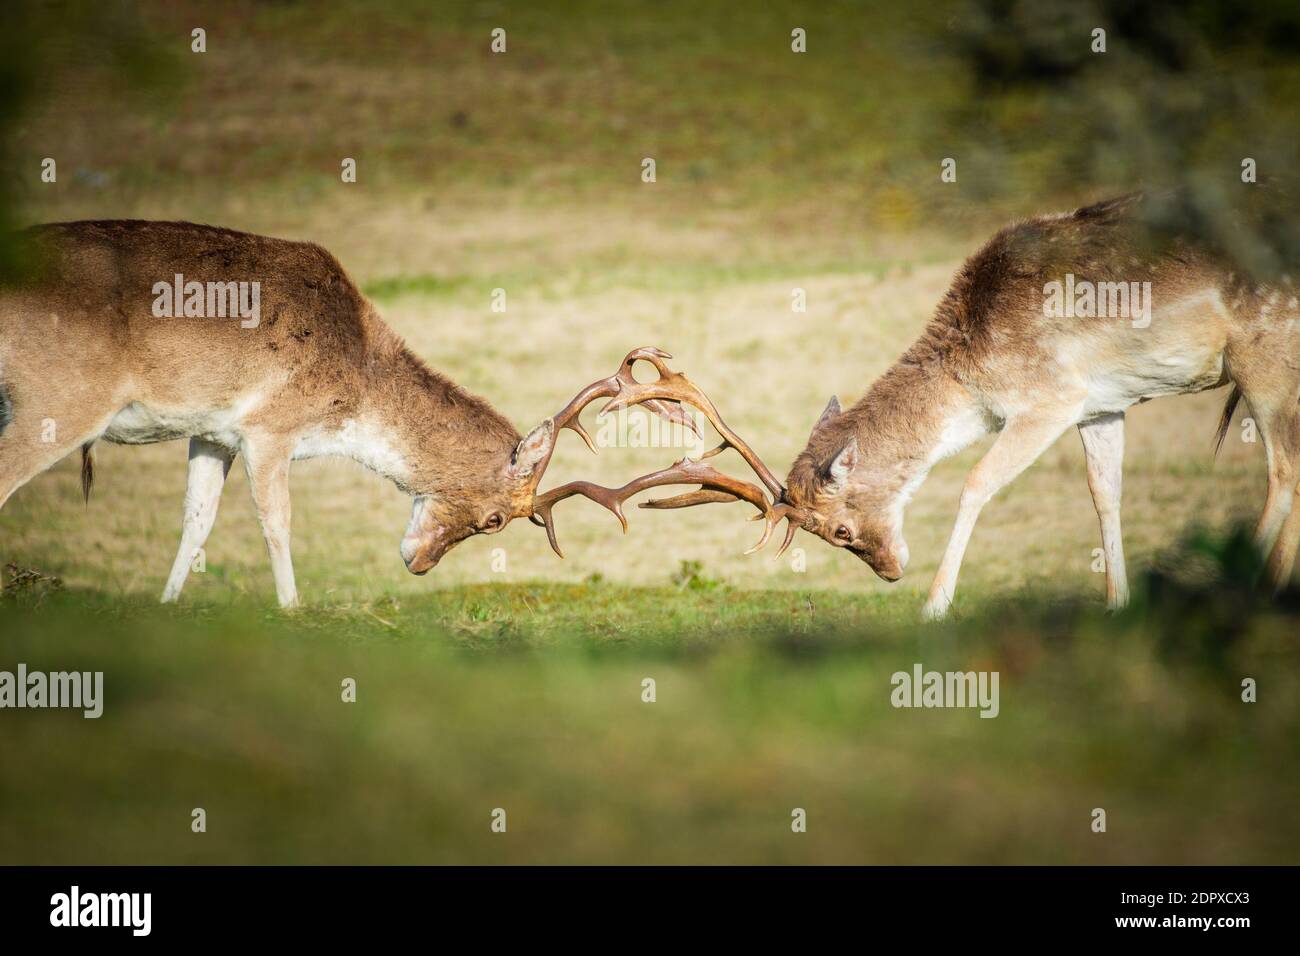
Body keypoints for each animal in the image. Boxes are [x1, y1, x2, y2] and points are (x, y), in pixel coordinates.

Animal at [0, 219, 766, 608]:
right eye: (496, 520)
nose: (418, 563)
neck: (354, 386)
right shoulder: (269, 425)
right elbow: (276, 522)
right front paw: (292, 610)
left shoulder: (211, 431)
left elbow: (196, 522)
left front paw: (166, 608)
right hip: (57, 398)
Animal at [606, 193, 1300, 620]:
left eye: (839, 531)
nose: (891, 572)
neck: (974, 376)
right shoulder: (1102, 404)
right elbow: (1105, 494)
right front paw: (1116, 603)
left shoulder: (1051, 397)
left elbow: (974, 481)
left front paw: (934, 606)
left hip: (1262, 355)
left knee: (1283, 468)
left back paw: (1247, 586)